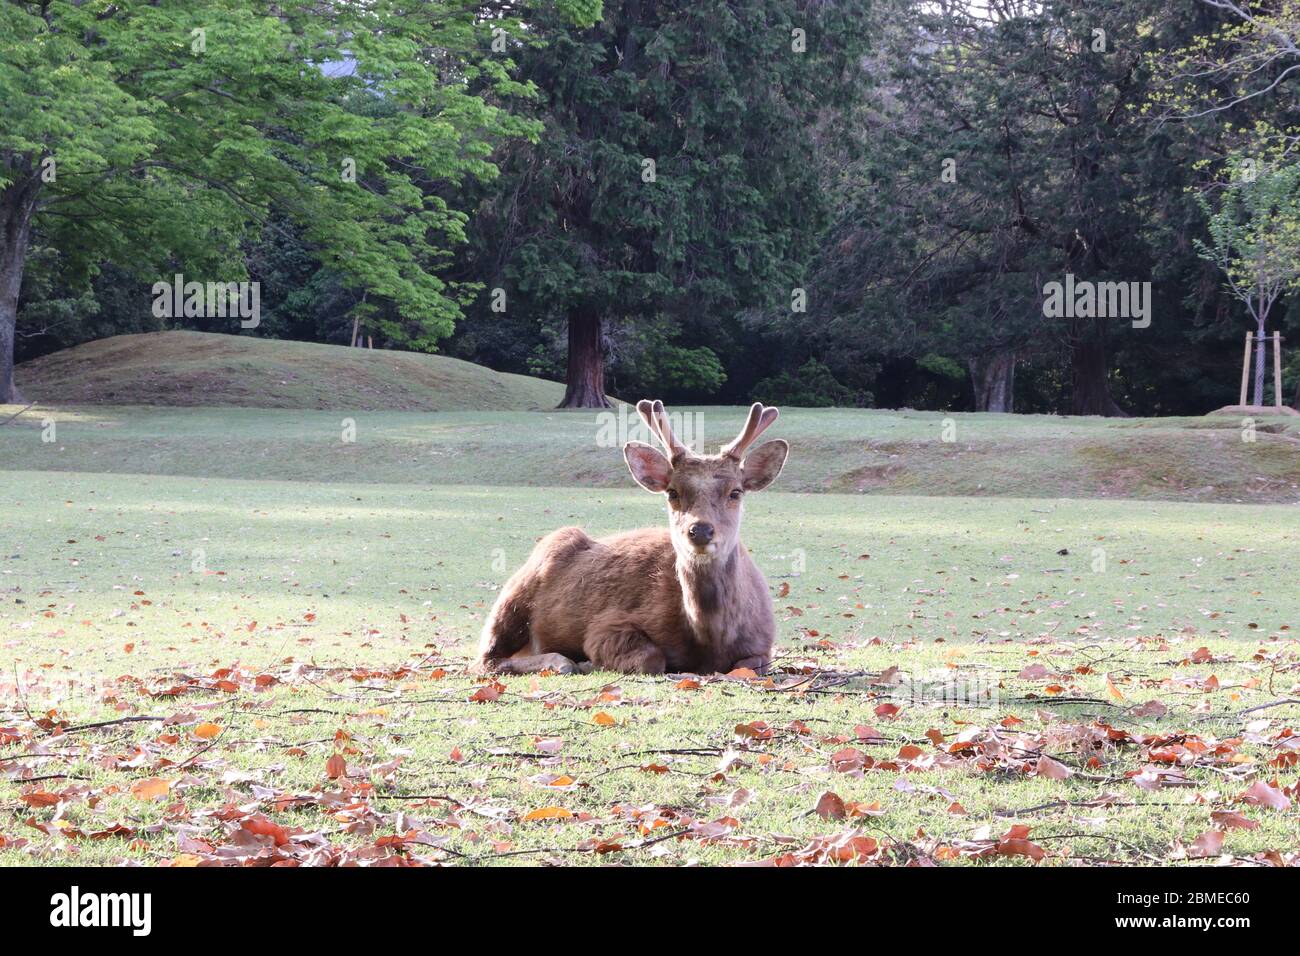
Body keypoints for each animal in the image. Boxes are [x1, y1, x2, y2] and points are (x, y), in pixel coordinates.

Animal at [474, 400, 789, 676]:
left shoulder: (763, 642)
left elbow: (755, 664)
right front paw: (587, 662)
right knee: (485, 659)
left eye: (736, 492)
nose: (700, 530)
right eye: (672, 492)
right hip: (514, 597)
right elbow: (651, 658)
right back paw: (561, 661)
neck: (709, 639)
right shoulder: (607, 625)